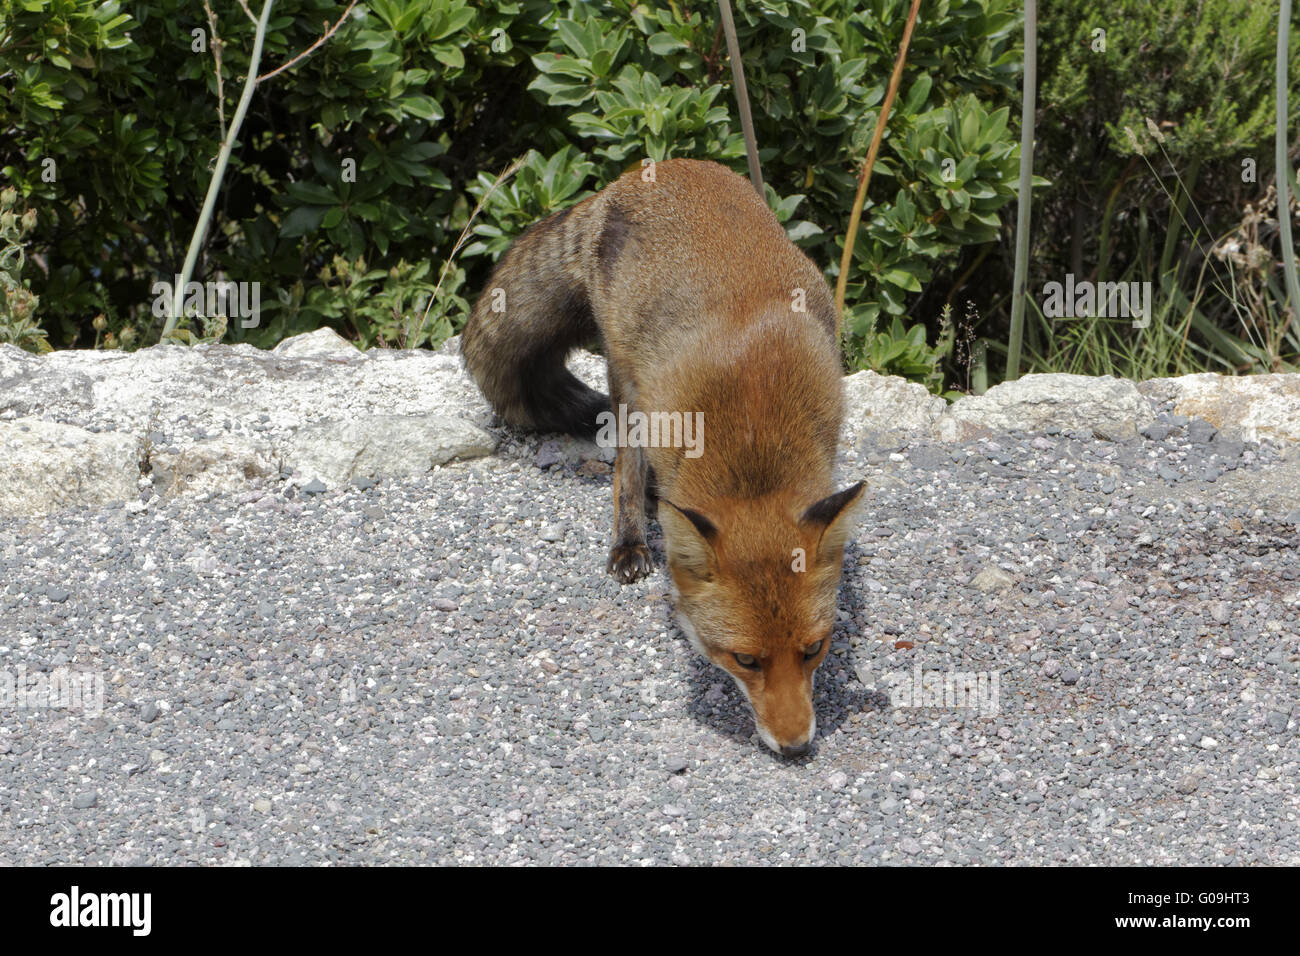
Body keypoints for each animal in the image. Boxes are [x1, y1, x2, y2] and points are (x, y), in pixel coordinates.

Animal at [461, 158, 864, 757]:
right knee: (625, 473)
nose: (795, 747)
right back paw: (630, 539)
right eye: (745, 660)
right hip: (624, 377)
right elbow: (633, 479)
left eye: (814, 649)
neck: (754, 434)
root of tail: (647, 169)